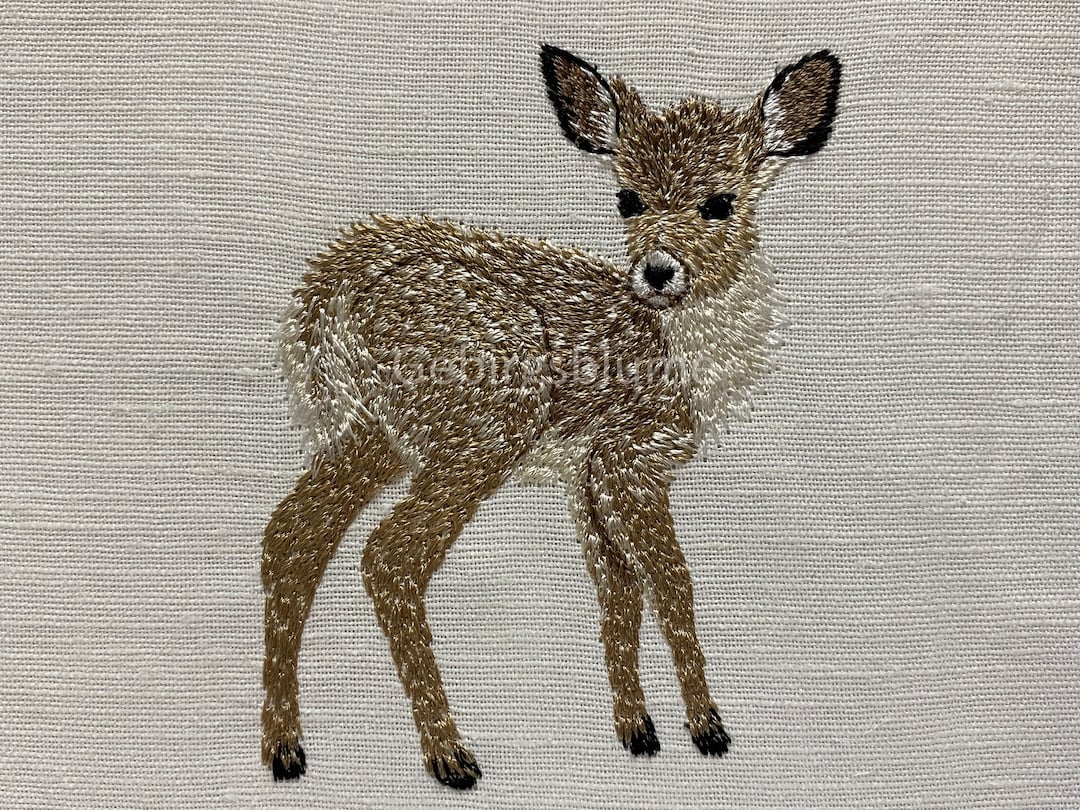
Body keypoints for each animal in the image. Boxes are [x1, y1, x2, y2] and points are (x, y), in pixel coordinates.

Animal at [261, 44, 841, 789]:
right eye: (628, 198)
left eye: (721, 202)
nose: (658, 270)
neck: (684, 360)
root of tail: (331, 289)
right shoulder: (630, 455)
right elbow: (673, 585)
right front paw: (707, 728)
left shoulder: (584, 474)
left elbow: (620, 592)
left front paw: (638, 731)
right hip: (484, 422)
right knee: (389, 556)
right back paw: (451, 756)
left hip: (374, 429)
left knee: (292, 535)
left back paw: (286, 748)